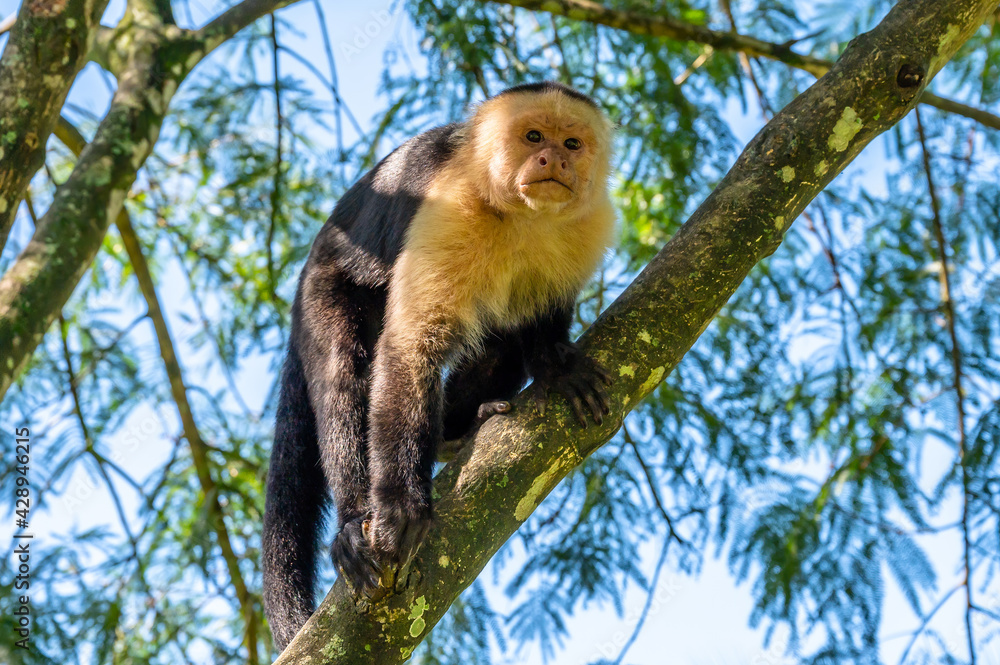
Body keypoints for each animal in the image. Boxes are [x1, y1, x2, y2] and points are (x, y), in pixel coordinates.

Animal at [262, 81, 617, 650]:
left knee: (500, 341)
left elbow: (544, 312)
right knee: (343, 375)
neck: (525, 216)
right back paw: (354, 519)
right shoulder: (451, 205)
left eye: (572, 143)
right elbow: (411, 349)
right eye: (533, 137)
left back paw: (457, 430)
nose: (553, 159)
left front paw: (557, 363)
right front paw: (401, 507)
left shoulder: (589, 224)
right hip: (323, 283)